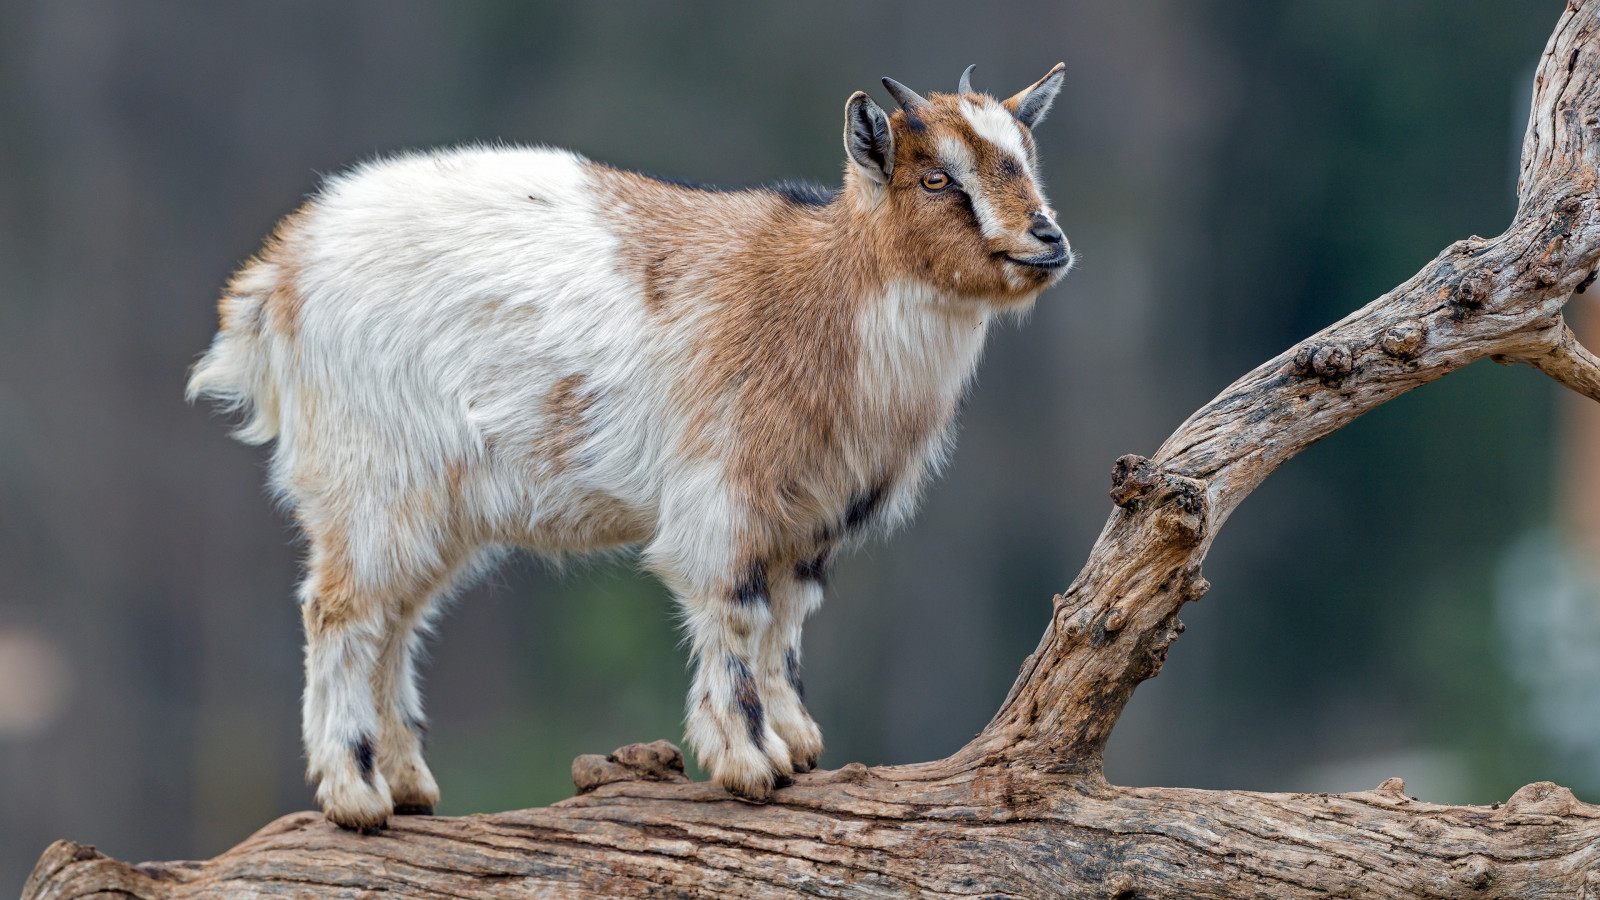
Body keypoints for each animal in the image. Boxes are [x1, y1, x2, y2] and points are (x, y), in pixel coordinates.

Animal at [189, 64, 1072, 830]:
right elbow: (738, 615)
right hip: (373, 476)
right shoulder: (724, 495)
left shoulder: (806, 514)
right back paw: (355, 796)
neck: (825, 292)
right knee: (339, 611)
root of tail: (279, 276)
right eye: (936, 180)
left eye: (1028, 161)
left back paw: (406, 784)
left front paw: (796, 747)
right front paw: (749, 763)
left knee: (395, 620)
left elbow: (786, 624)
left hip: (433, 505)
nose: (1048, 238)